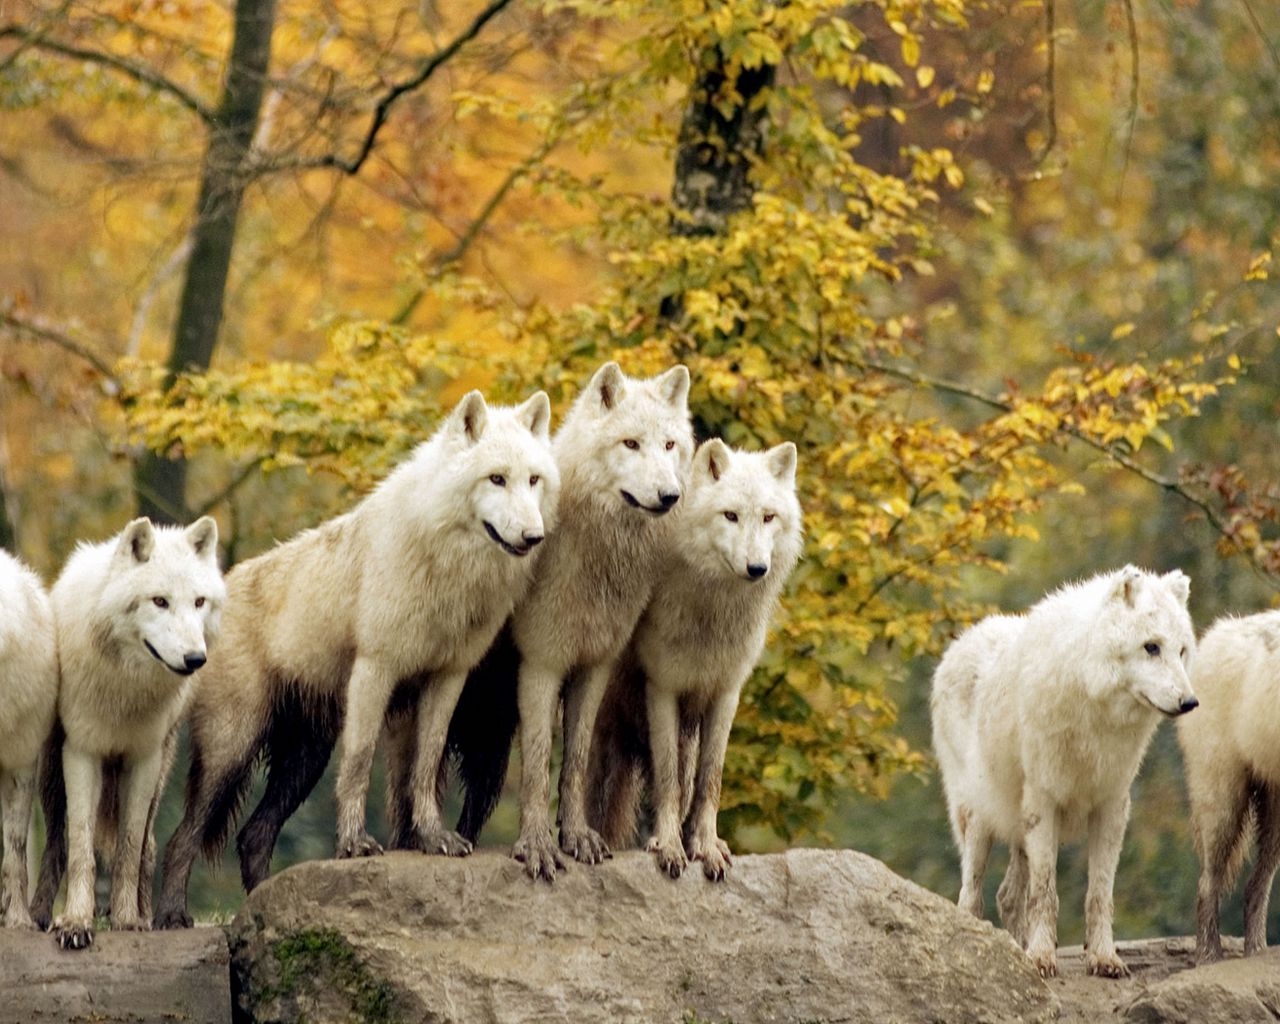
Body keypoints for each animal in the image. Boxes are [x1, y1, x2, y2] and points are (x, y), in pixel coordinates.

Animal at [31, 517, 224, 949]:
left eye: (199, 602)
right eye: (160, 601)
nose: (195, 659)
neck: (126, 688)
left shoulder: (144, 758)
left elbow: (130, 848)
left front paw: (127, 921)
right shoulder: (81, 751)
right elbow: (81, 847)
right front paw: (75, 923)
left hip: (160, 771)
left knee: (148, 847)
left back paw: (148, 914)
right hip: (51, 775)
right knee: (55, 845)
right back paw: (37, 915)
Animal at [153, 390, 557, 928]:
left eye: (533, 480)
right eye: (496, 478)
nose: (534, 536)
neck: (448, 567)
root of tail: (209, 597)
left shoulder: (447, 677)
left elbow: (425, 765)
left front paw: (433, 837)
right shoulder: (375, 669)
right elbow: (362, 760)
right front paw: (353, 844)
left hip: (304, 759)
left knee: (253, 836)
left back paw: (265, 913)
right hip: (231, 749)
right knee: (183, 837)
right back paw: (171, 915)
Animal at [588, 438, 802, 880]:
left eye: (768, 517)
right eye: (730, 515)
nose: (757, 568)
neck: (713, 614)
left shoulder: (725, 693)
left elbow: (709, 782)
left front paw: (705, 846)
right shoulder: (663, 688)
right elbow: (667, 781)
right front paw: (669, 846)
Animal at [931, 566, 1198, 979]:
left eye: (1182, 651)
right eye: (1151, 647)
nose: (1189, 702)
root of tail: (961, 641)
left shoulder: (1112, 805)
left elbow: (1099, 893)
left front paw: (1103, 958)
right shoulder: (1044, 803)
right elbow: (1046, 892)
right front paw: (1041, 957)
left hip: (1016, 825)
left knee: (1007, 896)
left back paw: (1014, 947)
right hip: (979, 816)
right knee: (971, 895)